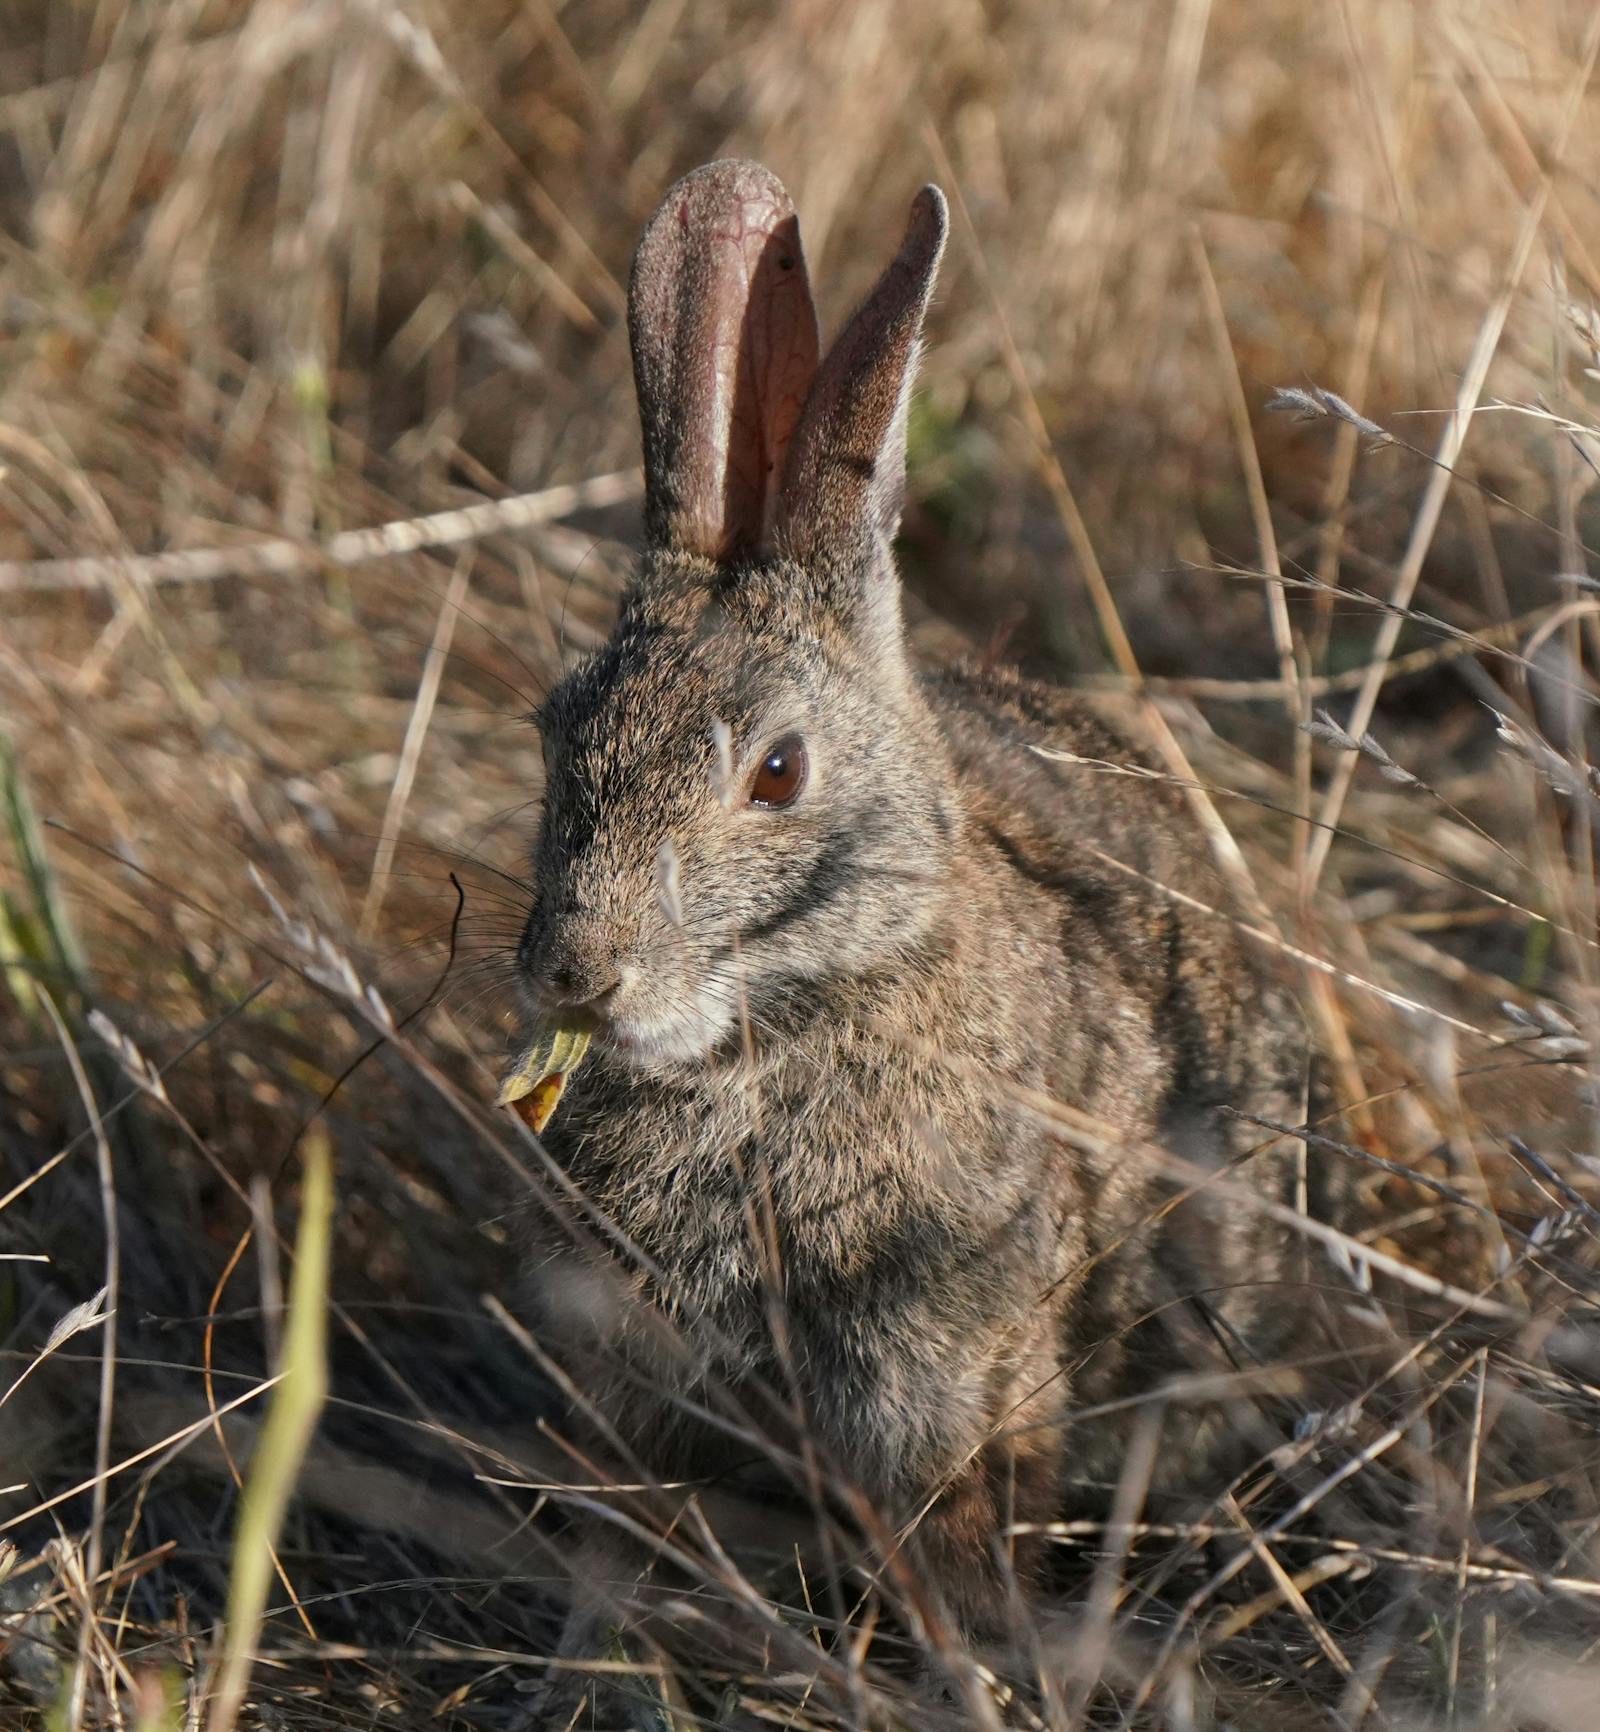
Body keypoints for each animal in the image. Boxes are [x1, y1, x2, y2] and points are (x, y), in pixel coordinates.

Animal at [510, 158, 1326, 1717]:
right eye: (555, 728)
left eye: (777, 773)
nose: (577, 970)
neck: (799, 1015)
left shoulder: (945, 1380)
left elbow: (959, 1557)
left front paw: (983, 1687)